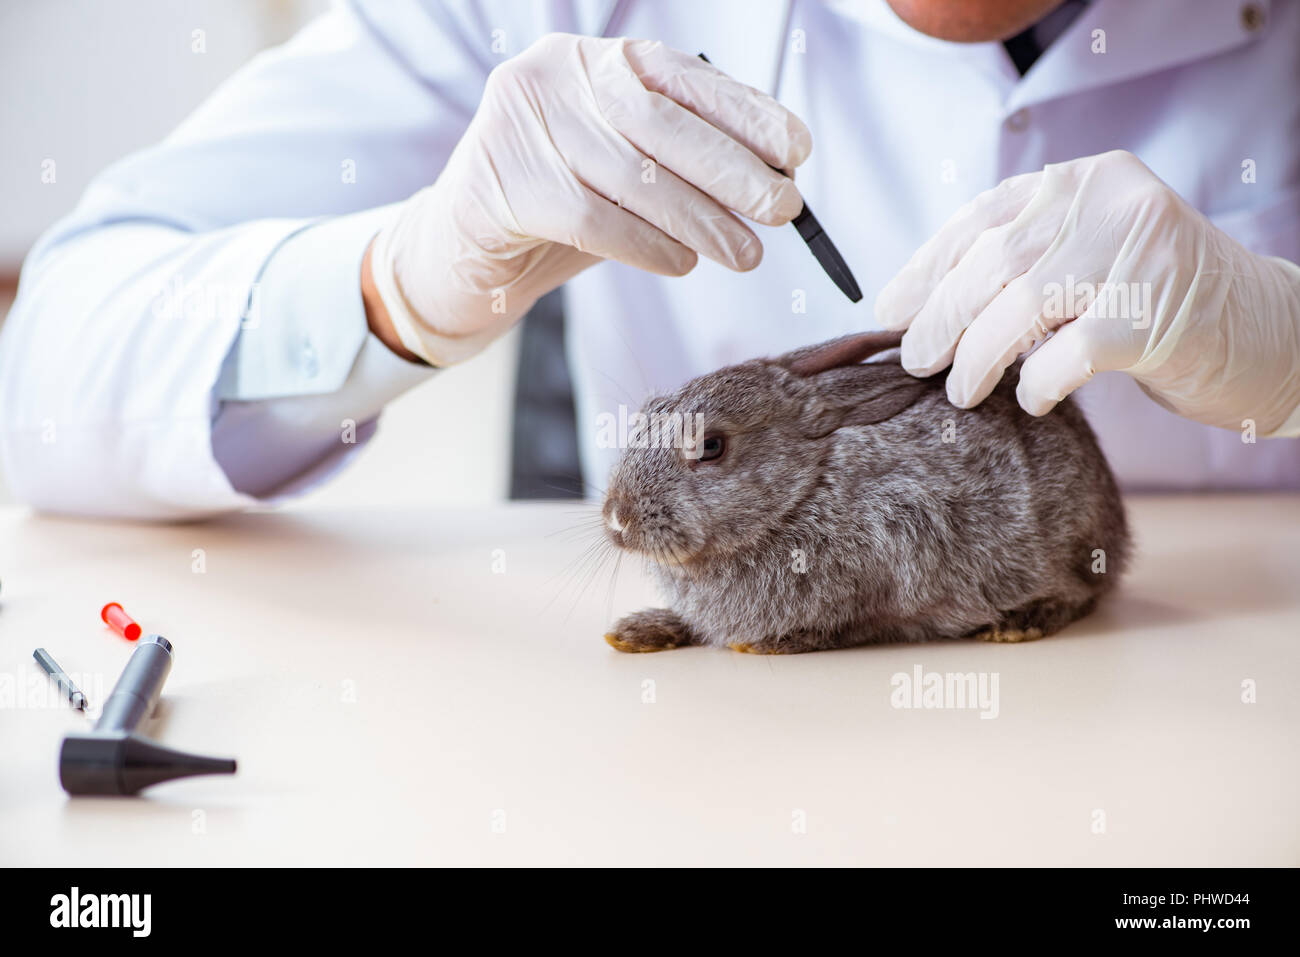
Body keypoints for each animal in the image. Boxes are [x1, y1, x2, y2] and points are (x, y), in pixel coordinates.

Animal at [601, 330, 1130, 654]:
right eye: (643, 416)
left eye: (711, 446)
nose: (616, 519)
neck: (801, 491)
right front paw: (638, 630)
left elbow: (848, 624)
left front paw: (770, 643)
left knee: (1084, 593)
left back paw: (1020, 623)